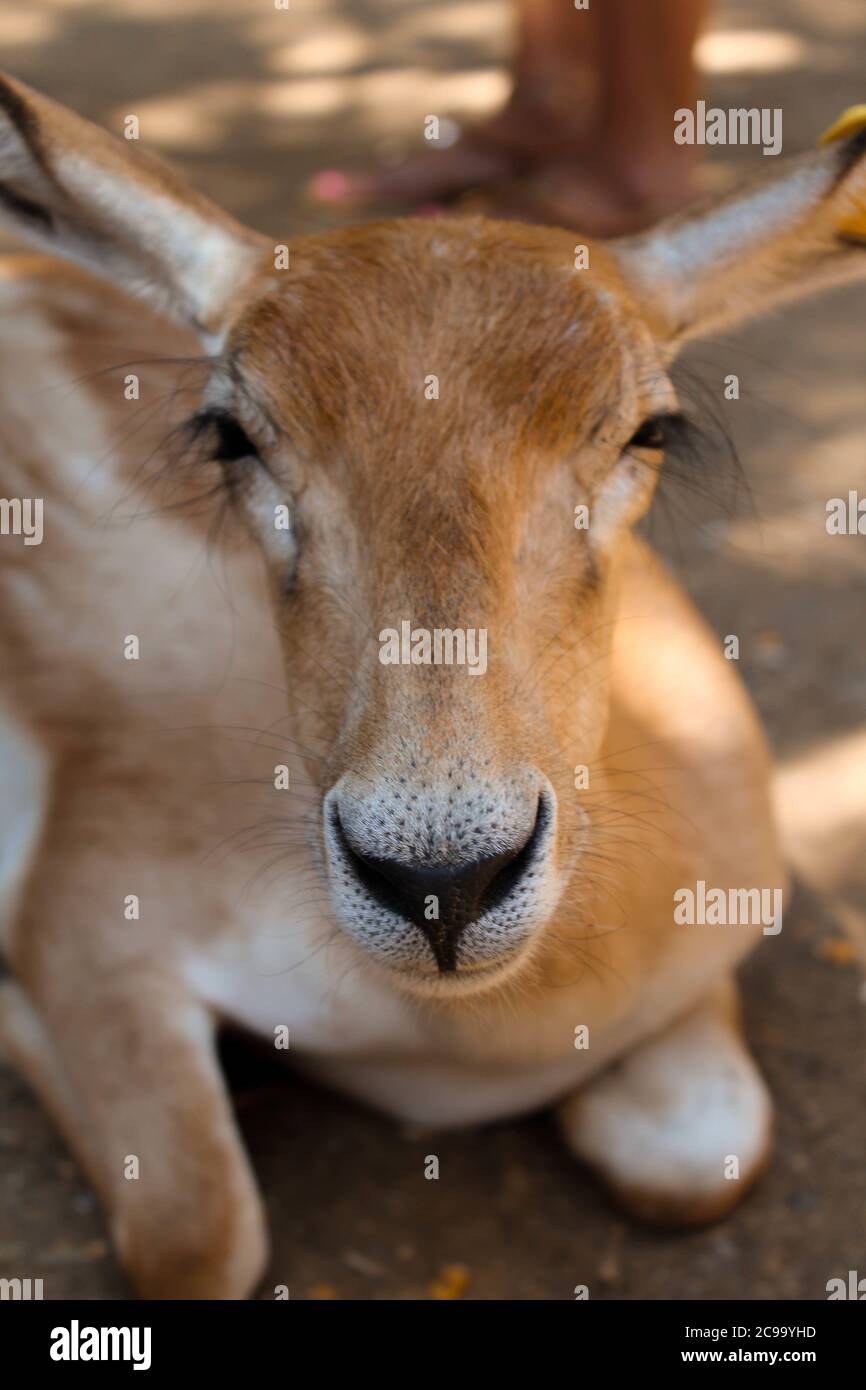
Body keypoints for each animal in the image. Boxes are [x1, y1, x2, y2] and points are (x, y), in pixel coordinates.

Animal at [0, 74, 863, 1300]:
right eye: (231, 433)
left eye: (648, 426)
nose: (441, 881)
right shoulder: (88, 909)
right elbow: (196, 1236)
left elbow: (701, 1156)